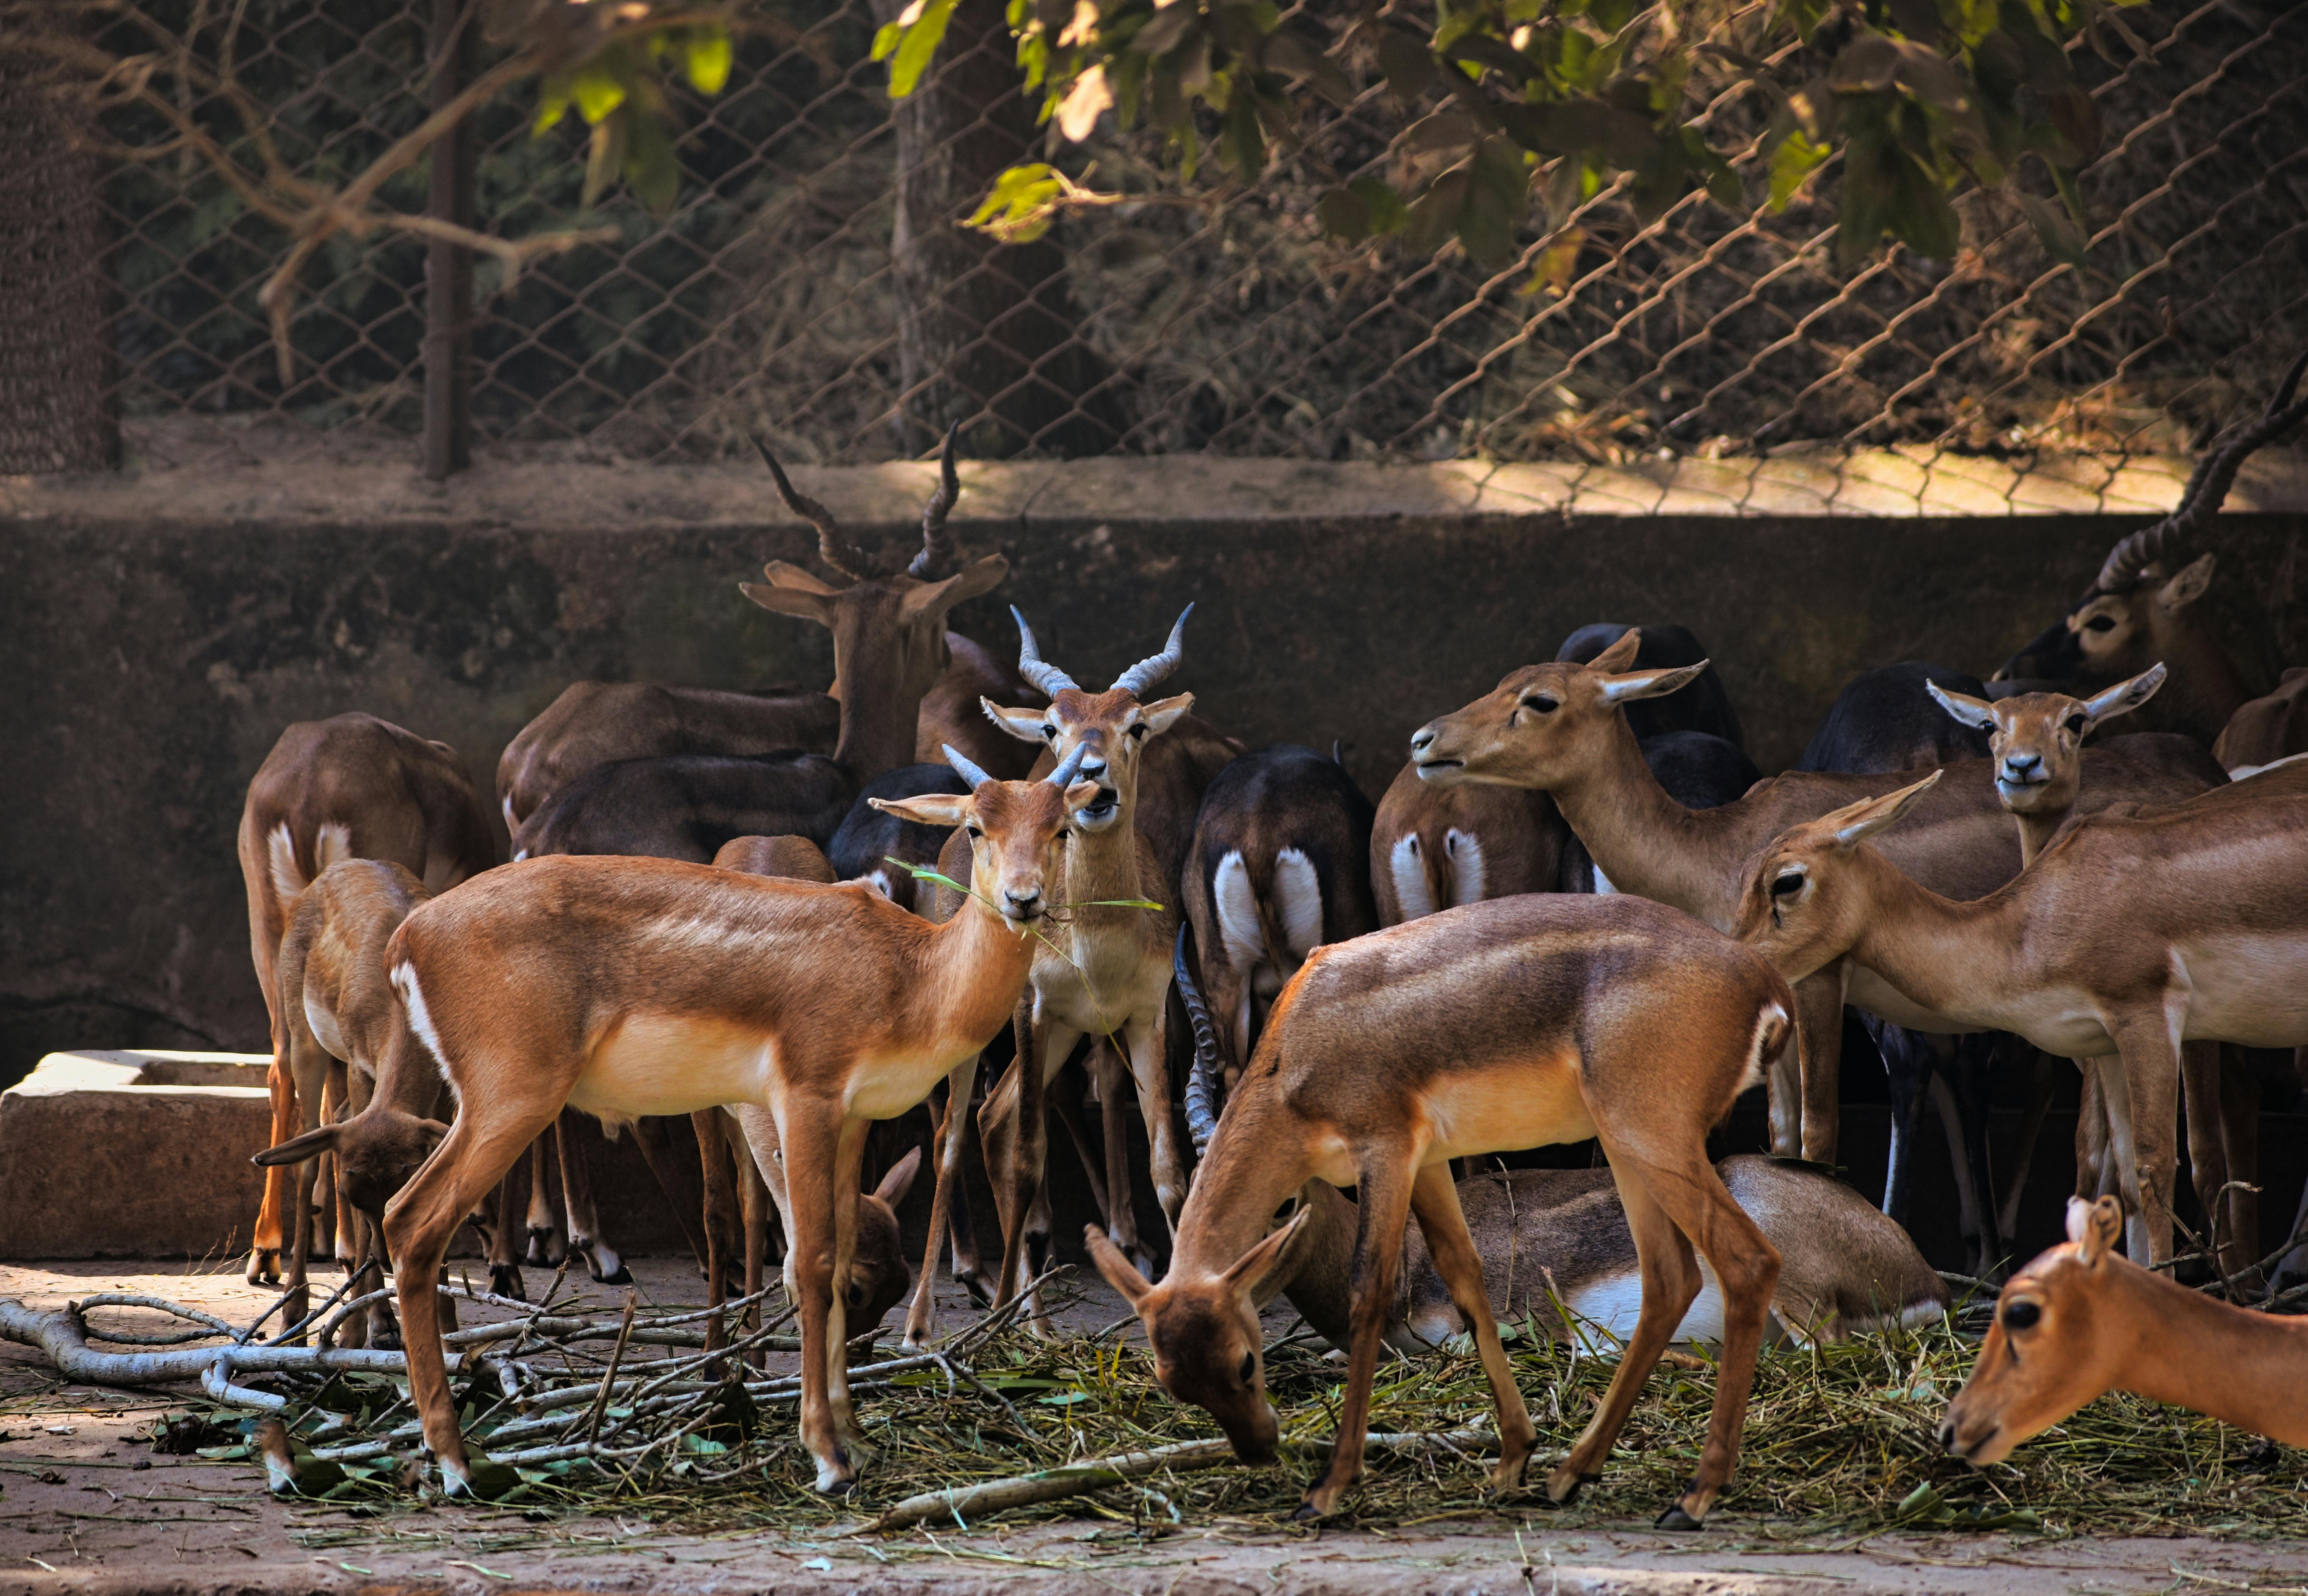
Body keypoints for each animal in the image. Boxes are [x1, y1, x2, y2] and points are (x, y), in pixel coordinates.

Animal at [377, 750, 1097, 1496]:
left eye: (1062, 827)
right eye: (978, 825)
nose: (1023, 898)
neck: (911, 976)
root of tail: (409, 937)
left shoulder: (854, 1117)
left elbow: (838, 1247)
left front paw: (855, 1438)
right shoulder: (805, 1096)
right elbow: (809, 1259)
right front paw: (826, 1453)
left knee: (405, 1214)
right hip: (512, 1095)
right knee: (413, 1220)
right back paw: (457, 1458)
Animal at [1091, 890, 1792, 1528]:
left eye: (1246, 1360)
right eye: (1174, 1380)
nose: (1261, 1446)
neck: (1302, 1041)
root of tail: (1763, 979)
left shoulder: (1386, 1148)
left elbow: (1369, 1291)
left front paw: (1329, 1487)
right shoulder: (1429, 1162)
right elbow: (1467, 1277)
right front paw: (1514, 1458)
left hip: (1652, 1138)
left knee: (1748, 1261)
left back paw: (1694, 1496)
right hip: (1630, 1151)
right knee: (1670, 1279)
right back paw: (1570, 1473)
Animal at [1728, 771, 2308, 1267]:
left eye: (1787, 881)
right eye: (1743, 871)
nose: (1736, 962)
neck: (2031, 927)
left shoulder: (2146, 1015)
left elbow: (2155, 1166)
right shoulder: (2107, 1044)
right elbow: (2124, 1179)